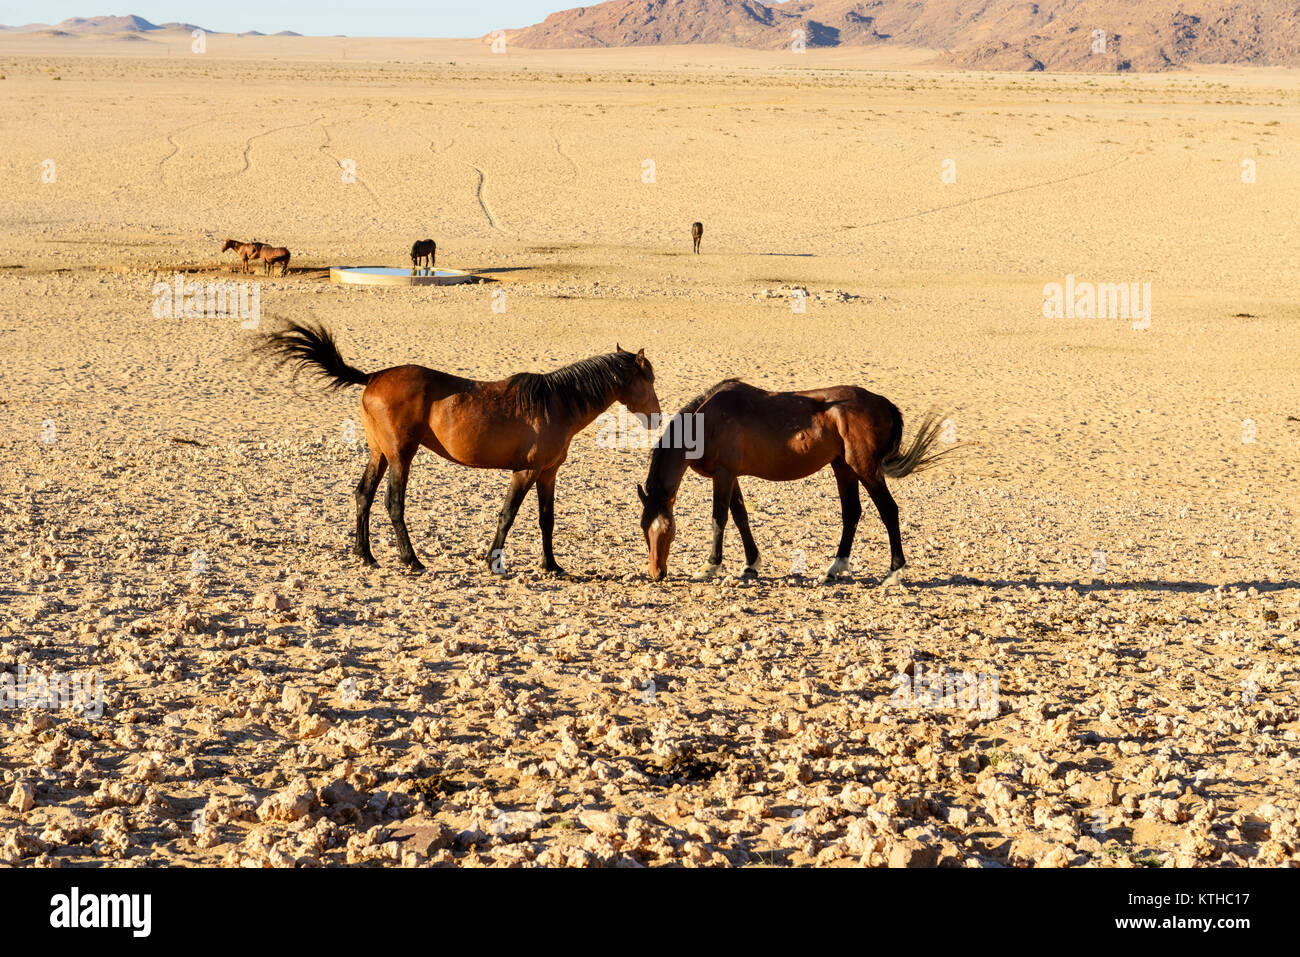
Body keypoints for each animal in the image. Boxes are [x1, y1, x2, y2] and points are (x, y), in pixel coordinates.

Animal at [258, 321, 660, 575]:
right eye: (649, 379)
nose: (656, 416)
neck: (556, 402)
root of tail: (373, 376)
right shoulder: (526, 471)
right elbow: (507, 515)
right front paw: (492, 562)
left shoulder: (548, 473)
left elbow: (547, 519)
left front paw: (552, 565)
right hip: (401, 456)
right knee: (393, 503)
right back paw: (411, 560)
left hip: (380, 455)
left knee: (363, 496)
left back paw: (366, 556)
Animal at [637, 379, 953, 583]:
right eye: (643, 529)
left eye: (668, 531)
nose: (656, 574)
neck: (707, 421)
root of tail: (881, 403)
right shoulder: (731, 476)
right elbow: (741, 517)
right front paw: (750, 565)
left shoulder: (723, 475)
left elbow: (720, 519)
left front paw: (711, 566)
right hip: (843, 468)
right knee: (852, 513)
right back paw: (834, 568)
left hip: (864, 469)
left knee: (889, 510)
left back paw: (894, 571)